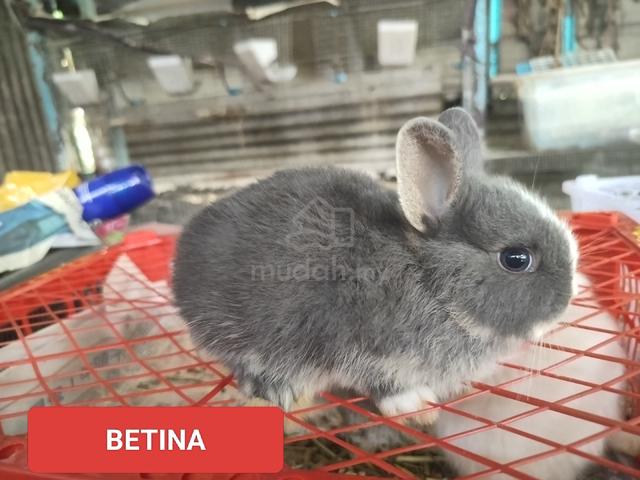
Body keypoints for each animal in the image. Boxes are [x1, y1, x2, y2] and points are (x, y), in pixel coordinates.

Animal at [172, 107, 578, 425]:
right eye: (516, 259)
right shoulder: (367, 350)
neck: (429, 281)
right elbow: (384, 383)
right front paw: (416, 405)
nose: (567, 304)